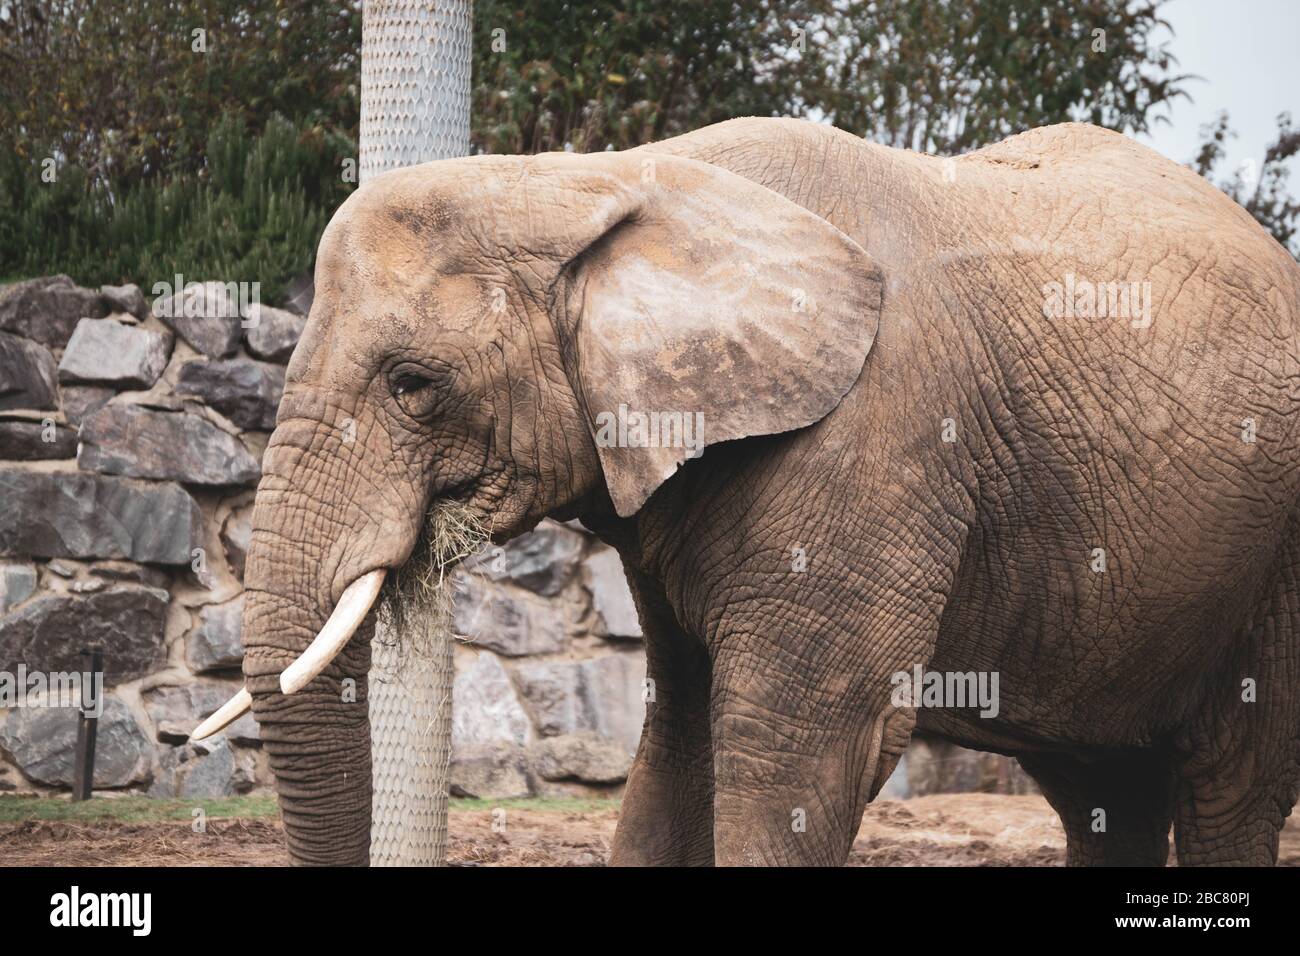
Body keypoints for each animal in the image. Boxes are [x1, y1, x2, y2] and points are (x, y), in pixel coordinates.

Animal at [195, 116, 1300, 866]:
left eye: (412, 385)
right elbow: (680, 742)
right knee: (1102, 789)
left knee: (1229, 786)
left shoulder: (871, 449)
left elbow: (794, 754)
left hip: (1275, 559)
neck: (600, 177)